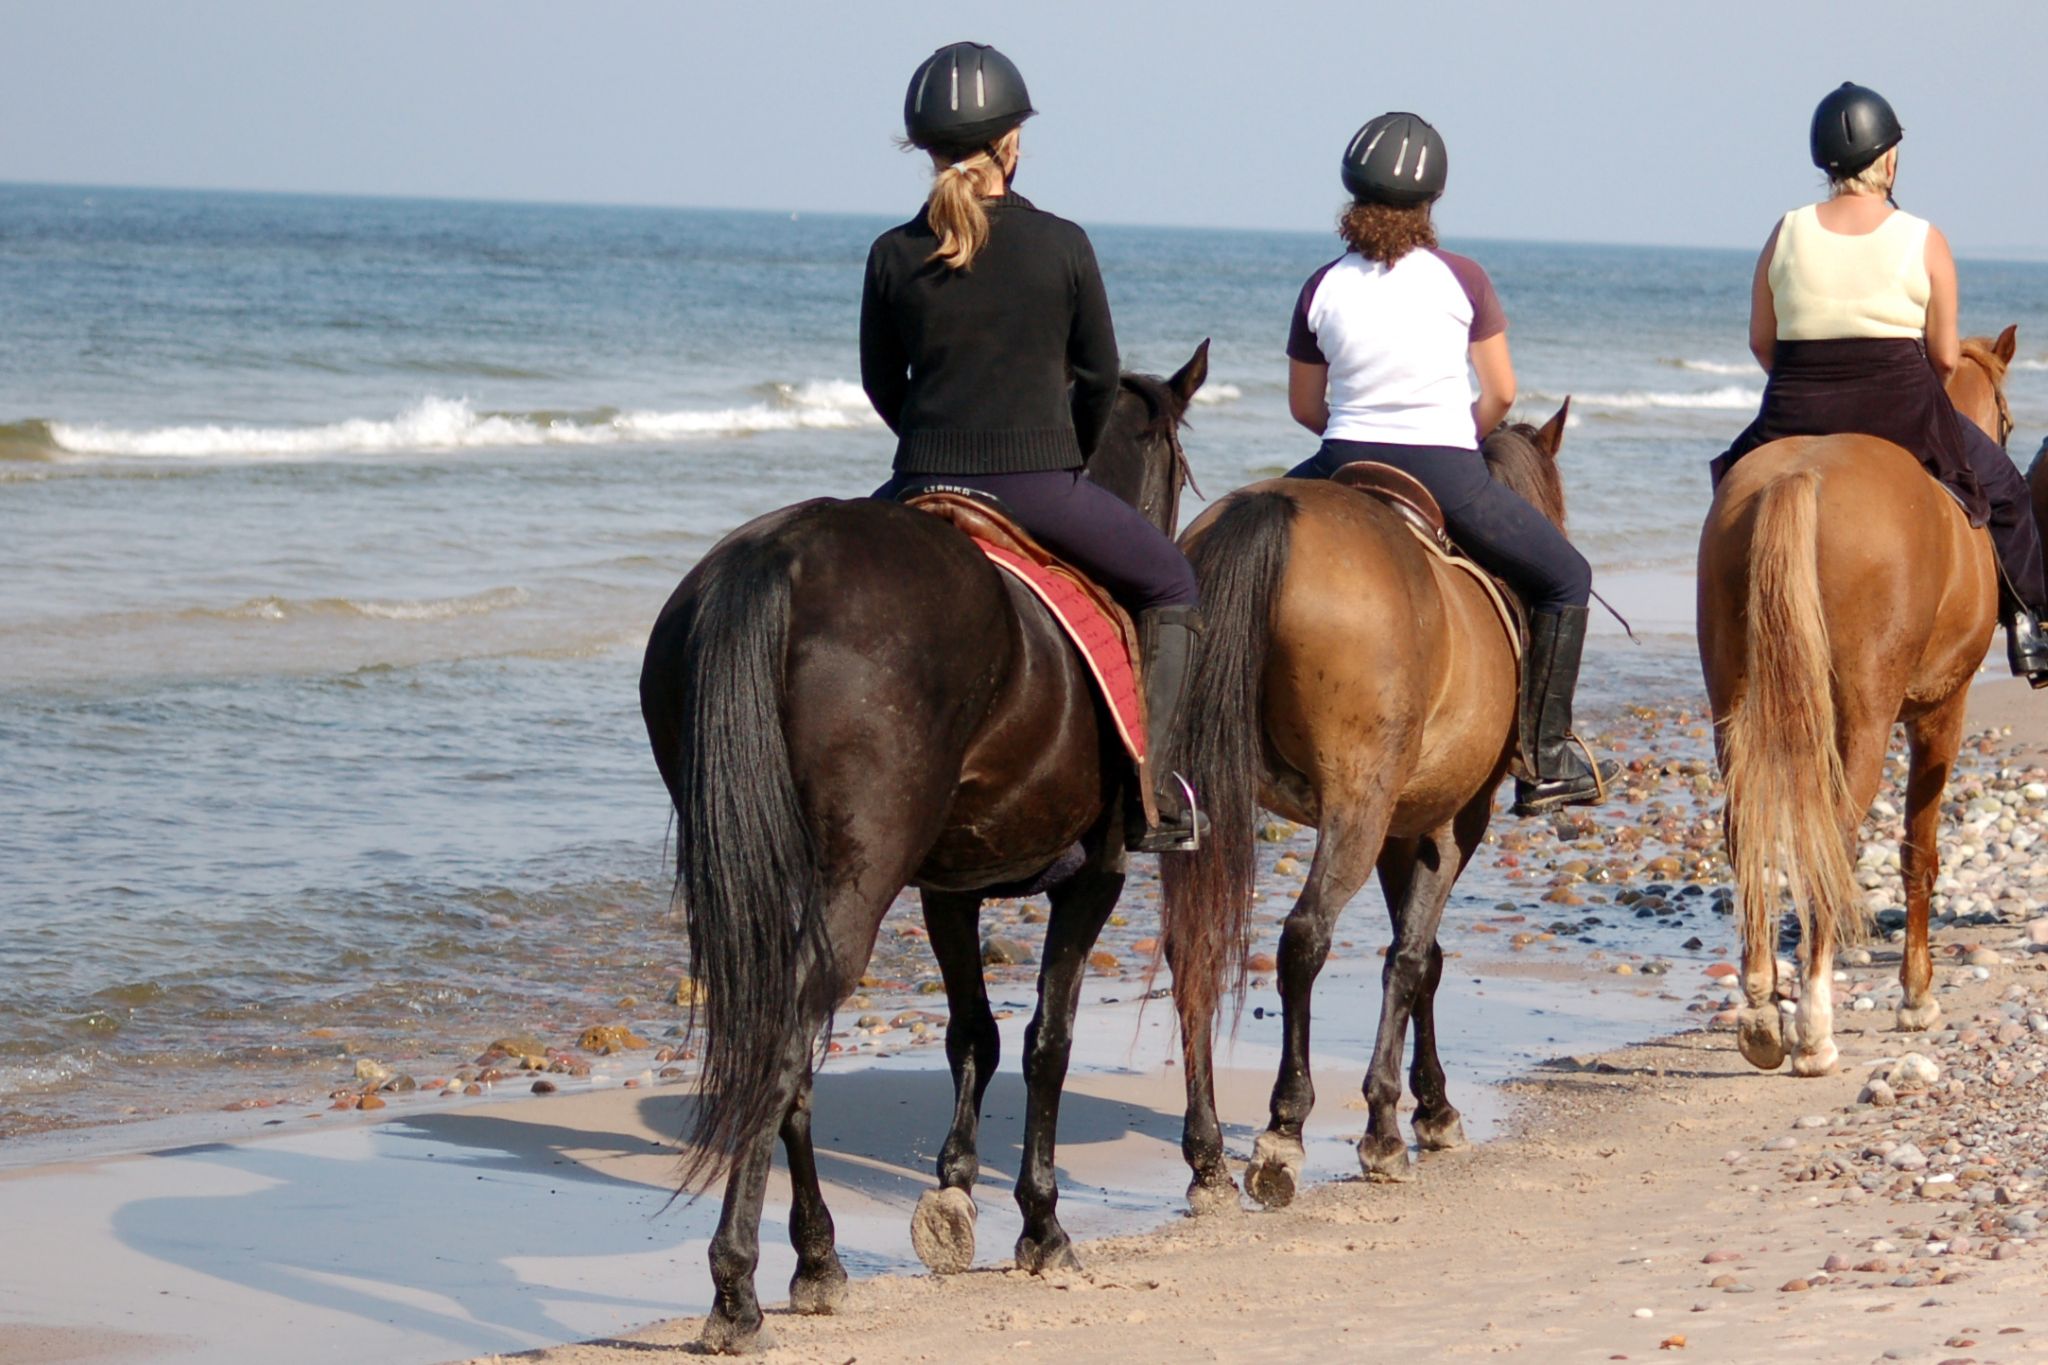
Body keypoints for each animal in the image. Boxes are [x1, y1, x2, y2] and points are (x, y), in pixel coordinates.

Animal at [637, 343, 1207, 1352]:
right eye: (1176, 469)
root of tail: (781, 556)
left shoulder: (947, 886)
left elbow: (973, 1030)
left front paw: (955, 1191)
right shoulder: (1093, 877)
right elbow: (1047, 1039)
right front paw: (1039, 1223)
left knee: (786, 1044)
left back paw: (817, 1259)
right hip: (862, 878)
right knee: (786, 1045)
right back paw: (736, 1287)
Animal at [1156, 406, 1574, 1210]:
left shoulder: (1400, 828)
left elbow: (1423, 955)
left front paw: (1430, 1105)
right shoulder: (1450, 821)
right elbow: (1412, 957)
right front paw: (1393, 1122)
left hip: (1198, 802)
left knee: (1192, 946)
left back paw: (1207, 1157)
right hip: (1356, 803)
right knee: (1304, 937)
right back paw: (1283, 1130)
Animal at [1696, 328, 2016, 1078]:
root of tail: (1799, 476)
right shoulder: (1943, 713)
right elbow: (1919, 850)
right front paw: (1917, 997)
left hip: (1732, 703)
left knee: (1744, 827)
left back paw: (1761, 1013)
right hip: (1865, 721)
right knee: (1833, 839)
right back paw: (1813, 1028)